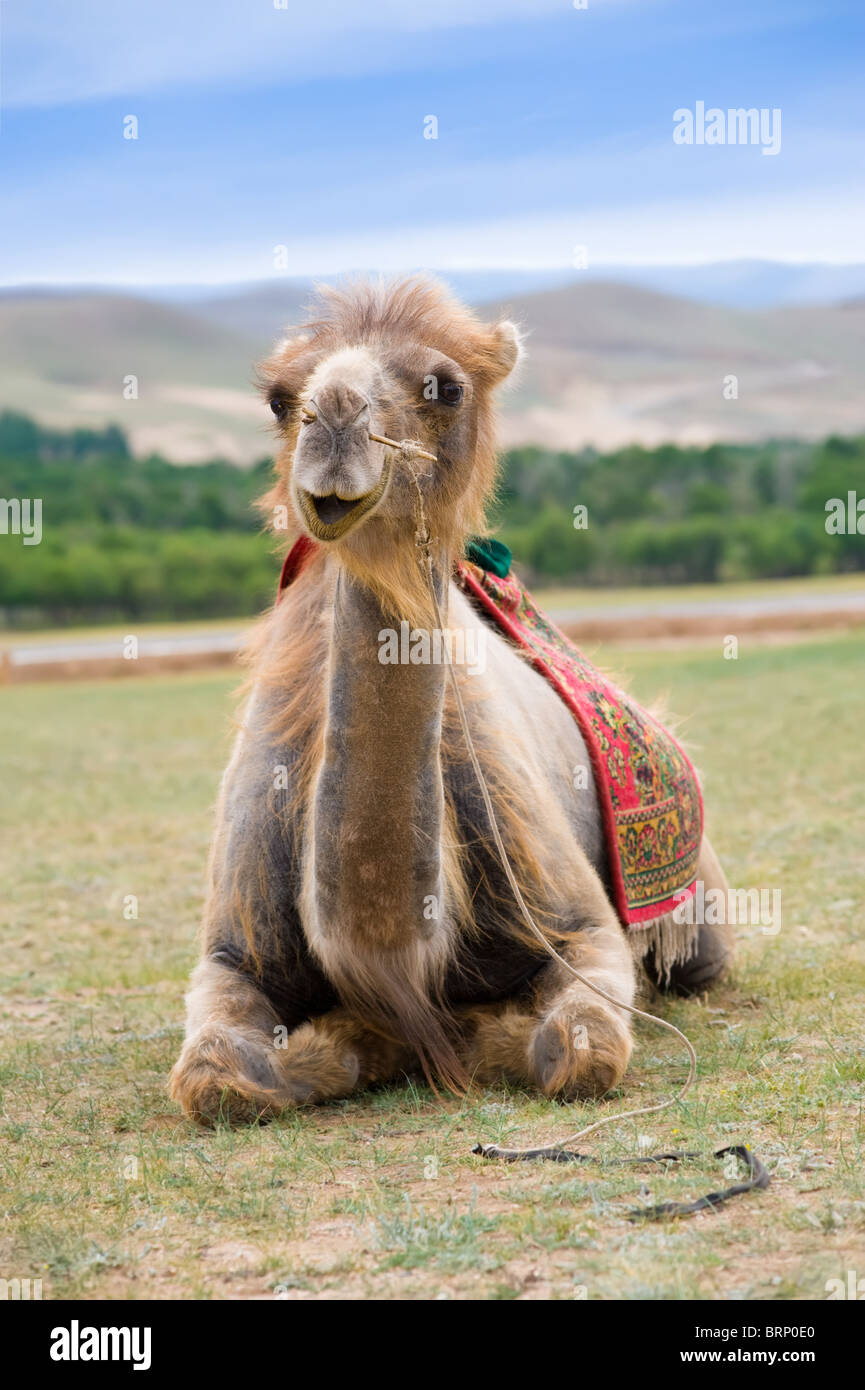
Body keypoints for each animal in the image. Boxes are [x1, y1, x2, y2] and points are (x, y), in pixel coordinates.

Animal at [170, 277, 733, 1124]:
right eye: (277, 399)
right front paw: (347, 1044)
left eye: (446, 386)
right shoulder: (231, 950)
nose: (333, 419)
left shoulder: (580, 926)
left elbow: (581, 1052)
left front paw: (457, 1035)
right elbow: (214, 1079)